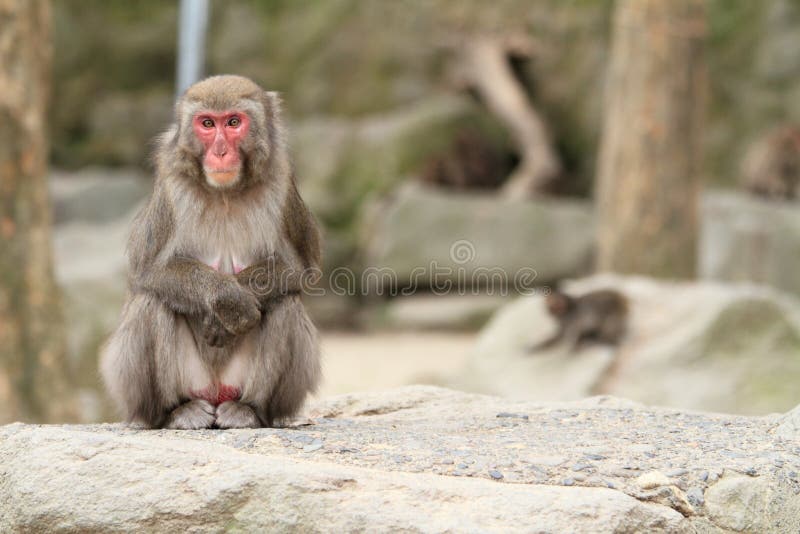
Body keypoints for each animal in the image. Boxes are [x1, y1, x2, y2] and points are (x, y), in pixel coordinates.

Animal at [100, 75, 322, 430]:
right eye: (207, 124)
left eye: (233, 123)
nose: (220, 151)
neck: (225, 194)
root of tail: (216, 392)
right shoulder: (171, 190)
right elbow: (149, 272)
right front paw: (228, 300)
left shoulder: (283, 186)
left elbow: (300, 268)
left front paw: (231, 306)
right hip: (177, 383)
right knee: (151, 302)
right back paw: (176, 411)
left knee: (285, 305)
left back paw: (250, 410)